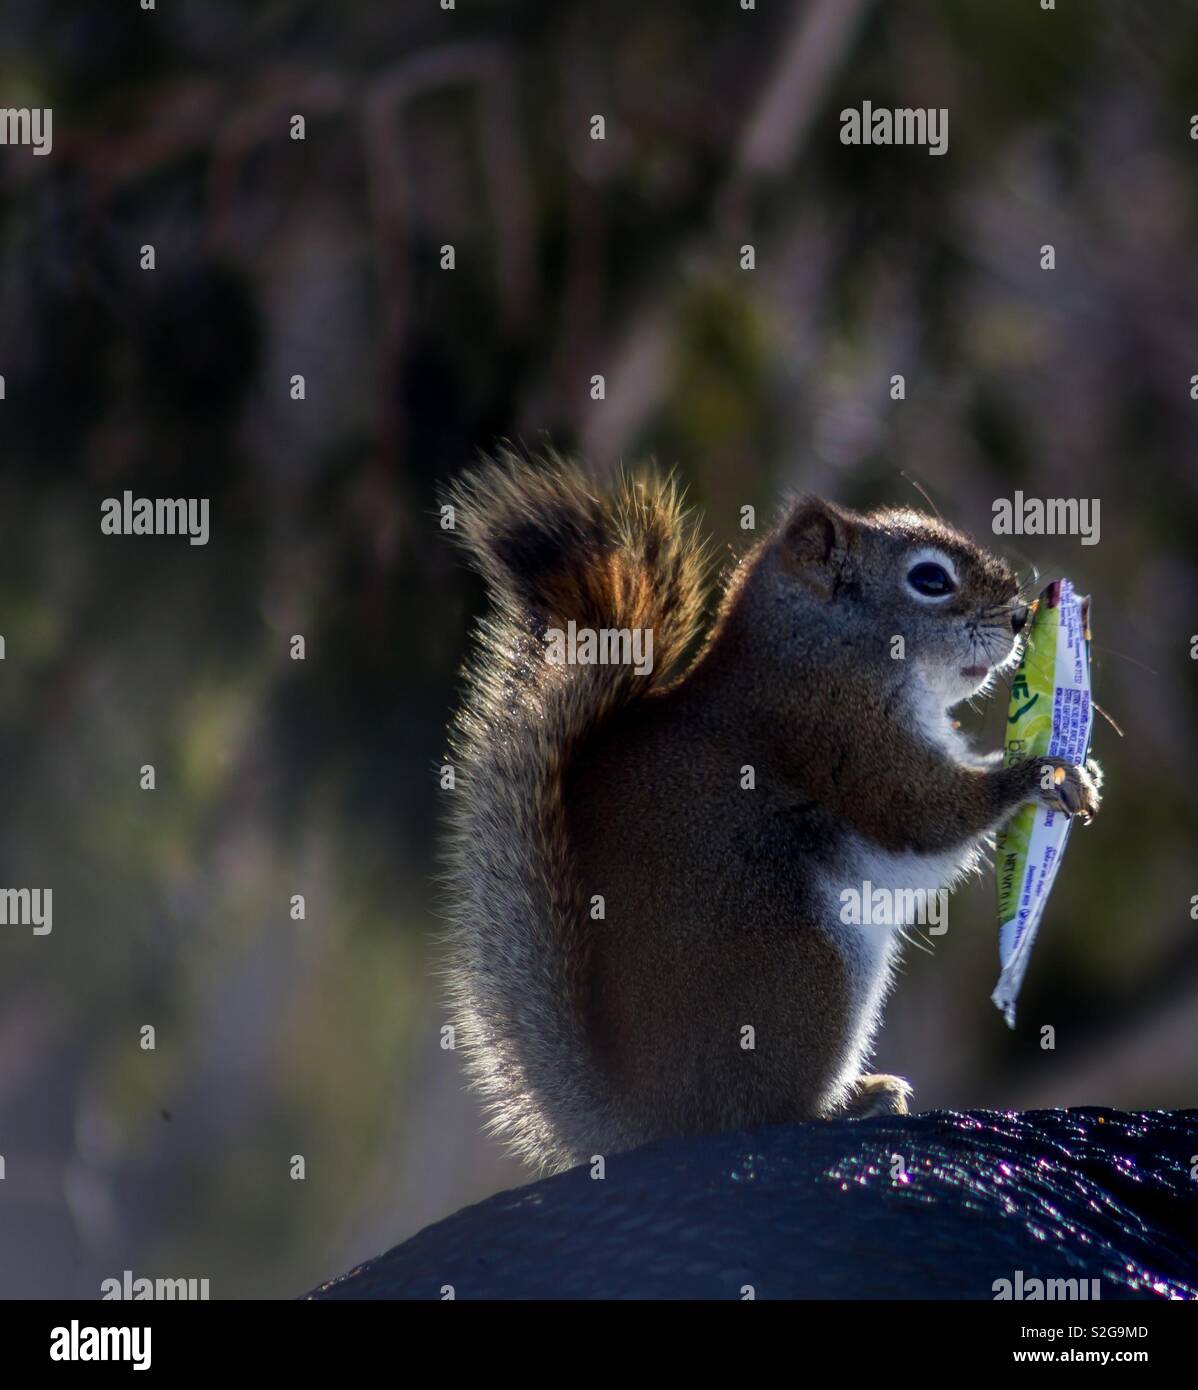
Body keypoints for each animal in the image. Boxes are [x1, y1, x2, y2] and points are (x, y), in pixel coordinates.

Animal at [442, 449, 1102, 1173]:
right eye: (930, 578)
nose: (1019, 617)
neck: (818, 650)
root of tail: (650, 1119)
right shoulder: (842, 743)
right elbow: (923, 814)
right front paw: (1038, 777)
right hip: (805, 972)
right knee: (764, 1113)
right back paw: (849, 1103)